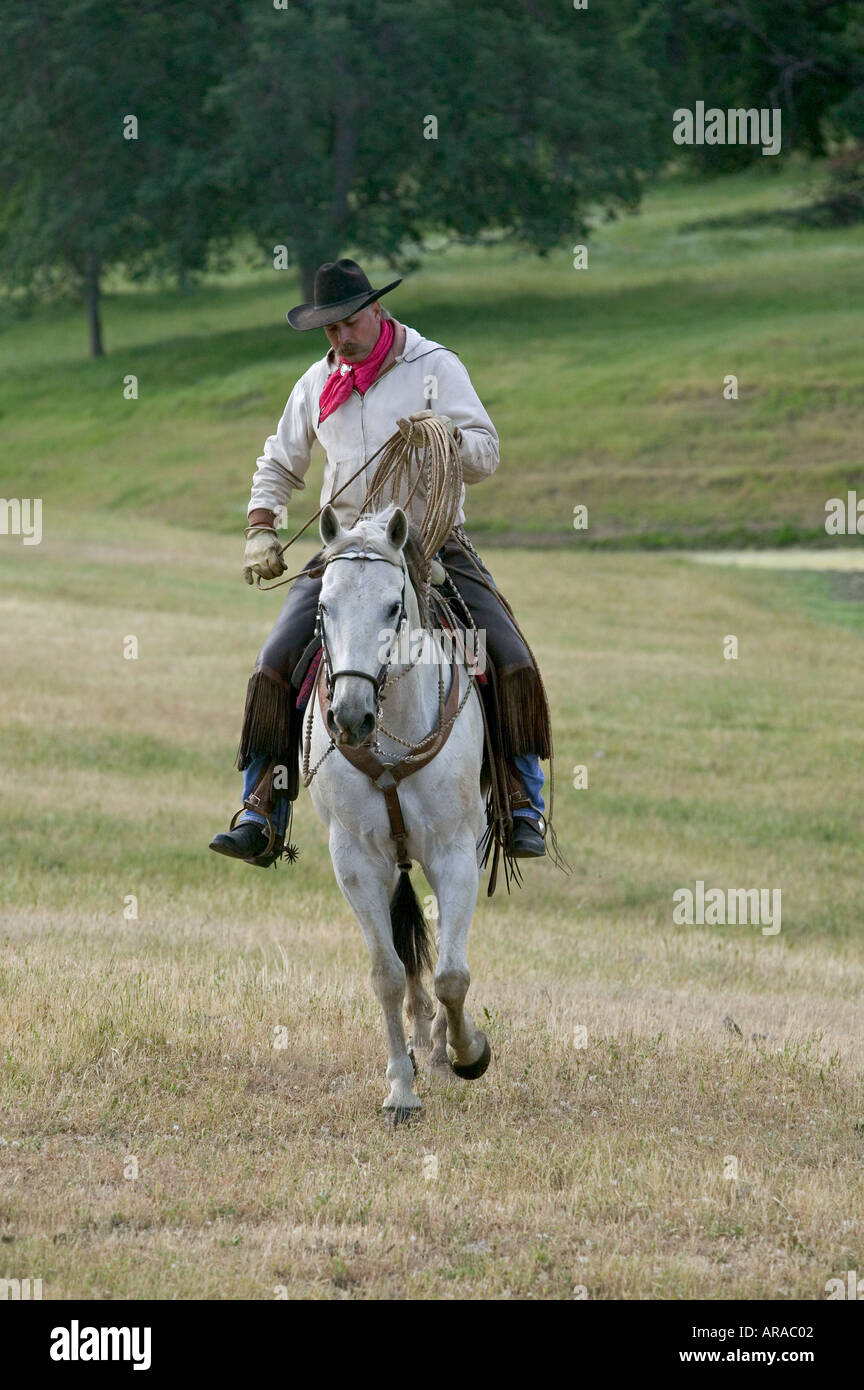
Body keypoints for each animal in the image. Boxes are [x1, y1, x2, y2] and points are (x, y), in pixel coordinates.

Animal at [304, 502, 492, 1118]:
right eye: (324, 605)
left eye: (393, 606)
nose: (350, 716)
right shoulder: (357, 860)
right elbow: (386, 973)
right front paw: (401, 1089)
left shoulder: (455, 853)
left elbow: (453, 975)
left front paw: (467, 1052)